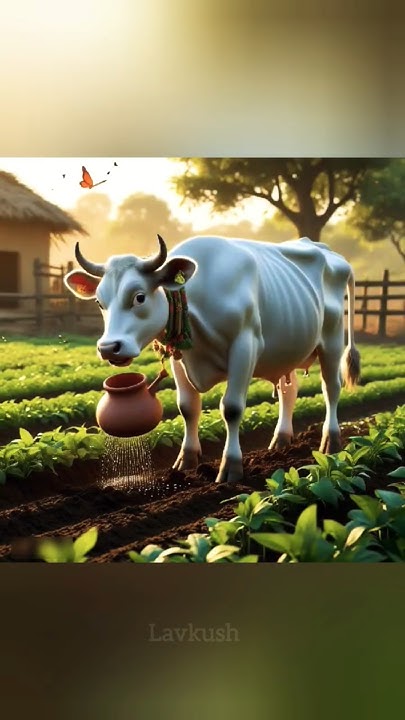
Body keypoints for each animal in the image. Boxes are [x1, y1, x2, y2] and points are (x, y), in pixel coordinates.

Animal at [64, 234, 360, 484]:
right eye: (100, 302)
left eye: (139, 297)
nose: (108, 347)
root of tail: (328, 251)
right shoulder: (180, 356)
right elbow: (188, 407)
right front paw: (186, 458)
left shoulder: (245, 346)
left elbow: (231, 408)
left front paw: (231, 466)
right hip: (287, 349)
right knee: (290, 392)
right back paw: (281, 440)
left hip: (332, 340)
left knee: (330, 388)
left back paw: (331, 442)